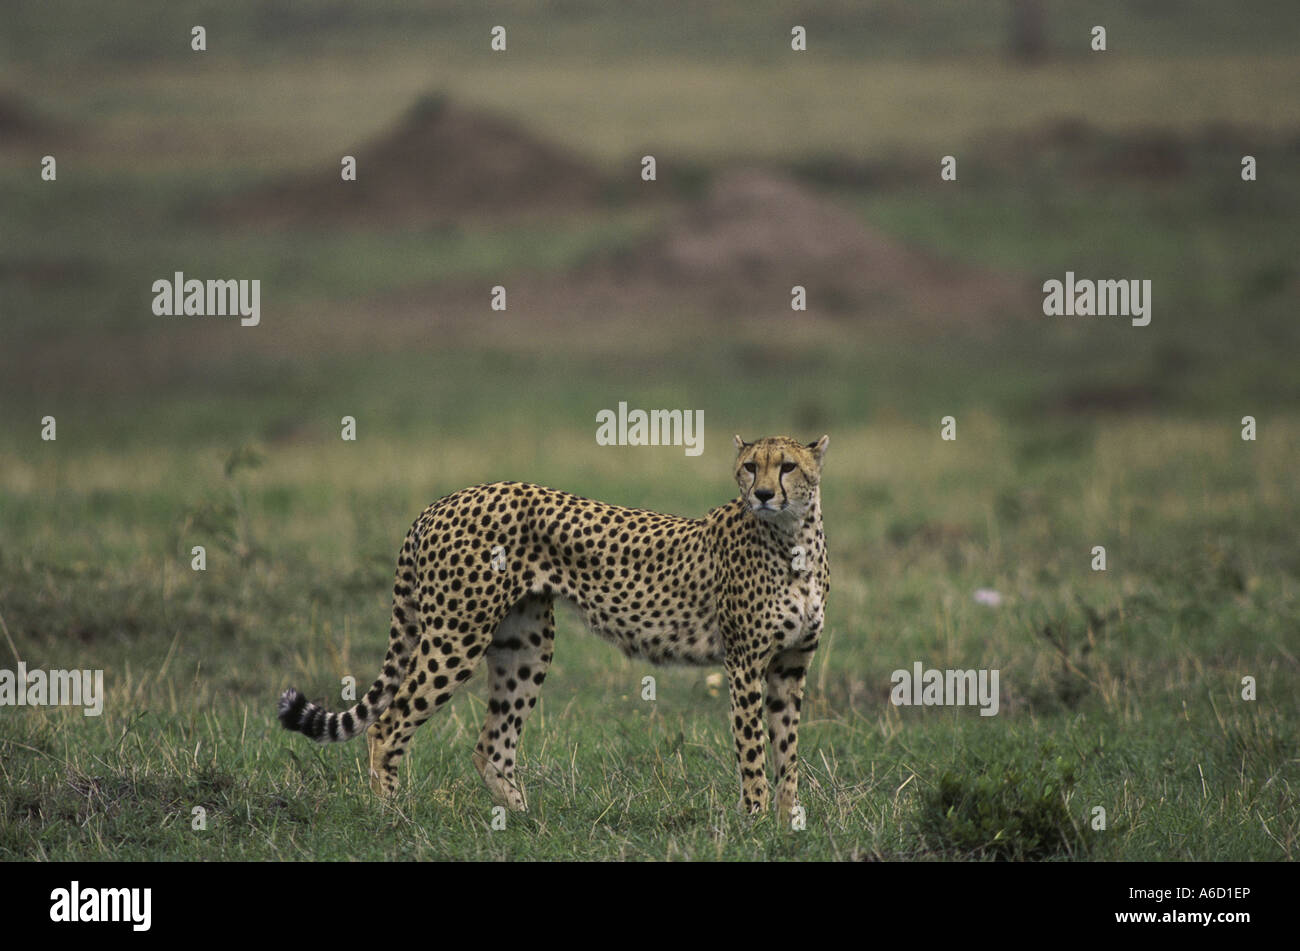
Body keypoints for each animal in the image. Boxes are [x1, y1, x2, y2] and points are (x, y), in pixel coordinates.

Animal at [278, 433, 829, 817]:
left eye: (788, 466)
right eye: (749, 467)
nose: (763, 494)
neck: (791, 539)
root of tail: (443, 501)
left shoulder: (790, 665)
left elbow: (788, 750)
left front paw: (787, 821)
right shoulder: (744, 663)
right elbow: (753, 749)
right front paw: (755, 820)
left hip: (525, 644)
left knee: (491, 746)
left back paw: (524, 822)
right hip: (456, 636)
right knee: (388, 725)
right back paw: (391, 815)